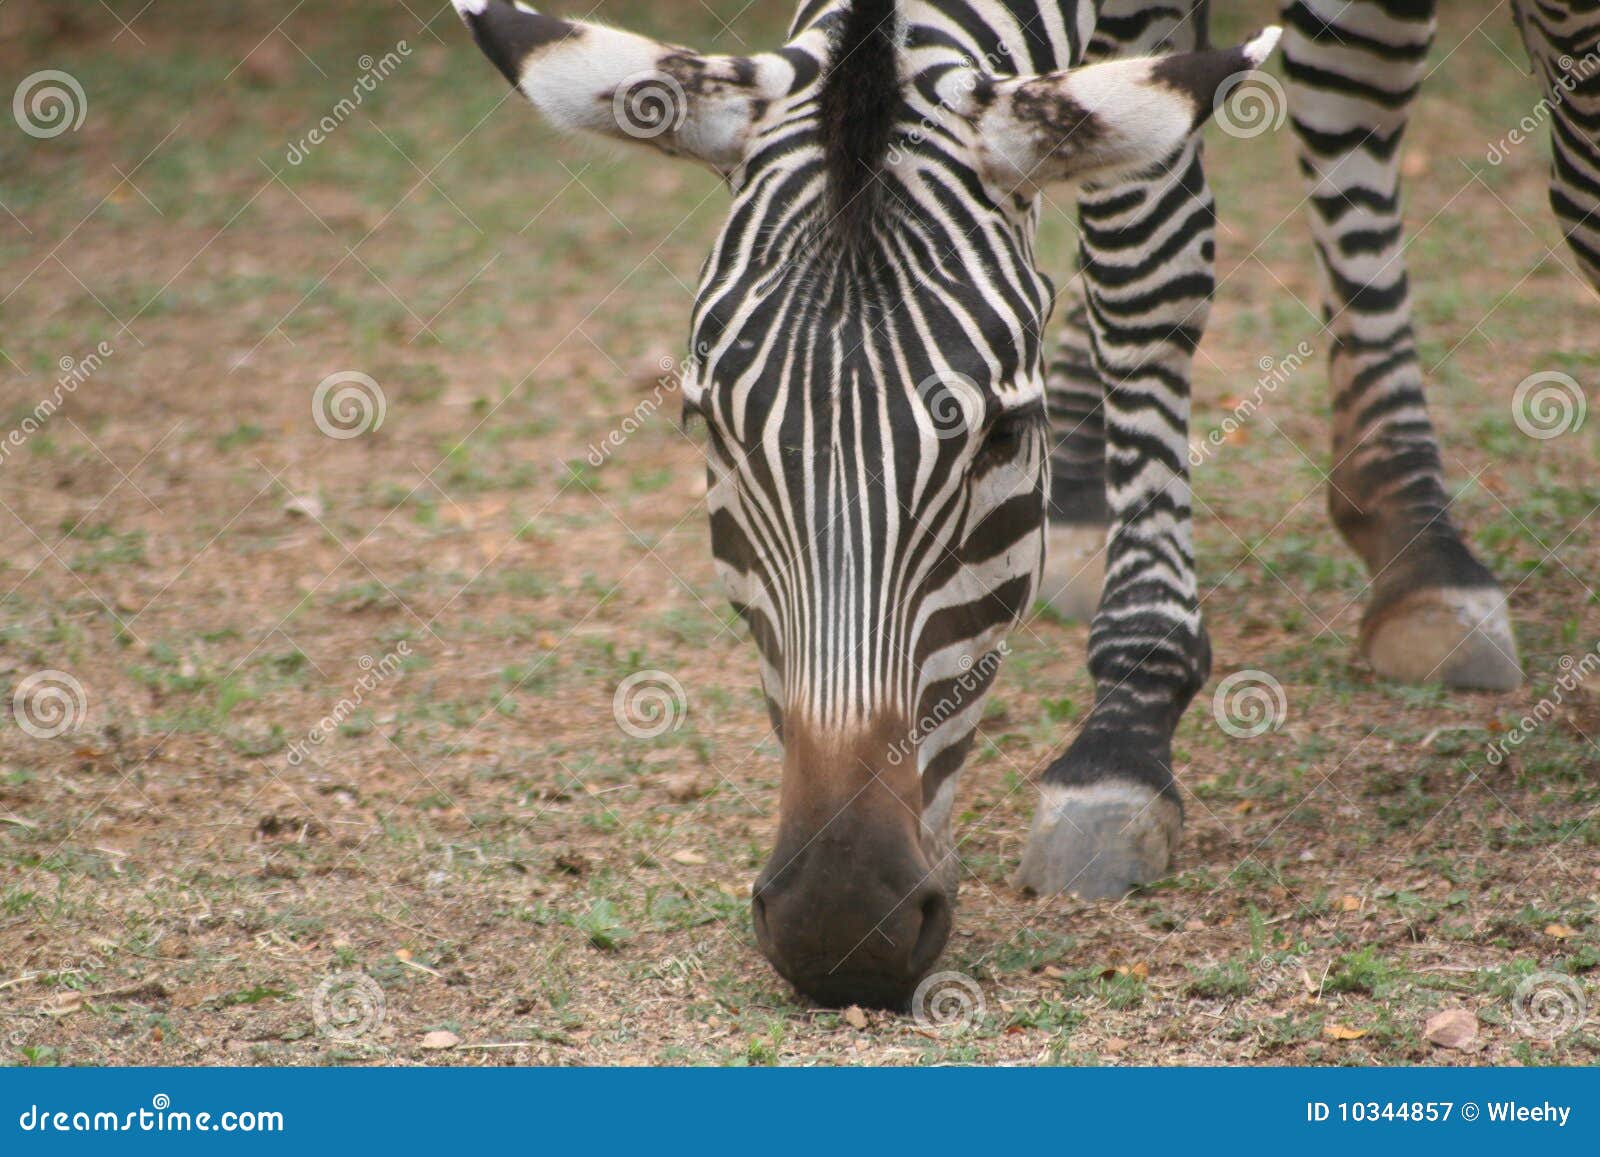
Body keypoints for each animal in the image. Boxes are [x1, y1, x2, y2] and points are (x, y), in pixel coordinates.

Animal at [446, 0, 1593, 1008]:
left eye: (1000, 434)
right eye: (708, 428)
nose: (838, 923)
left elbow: (1157, 262)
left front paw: (1125, 730)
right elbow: (1136, 229)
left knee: (1347, 84)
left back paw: (1420, 551)